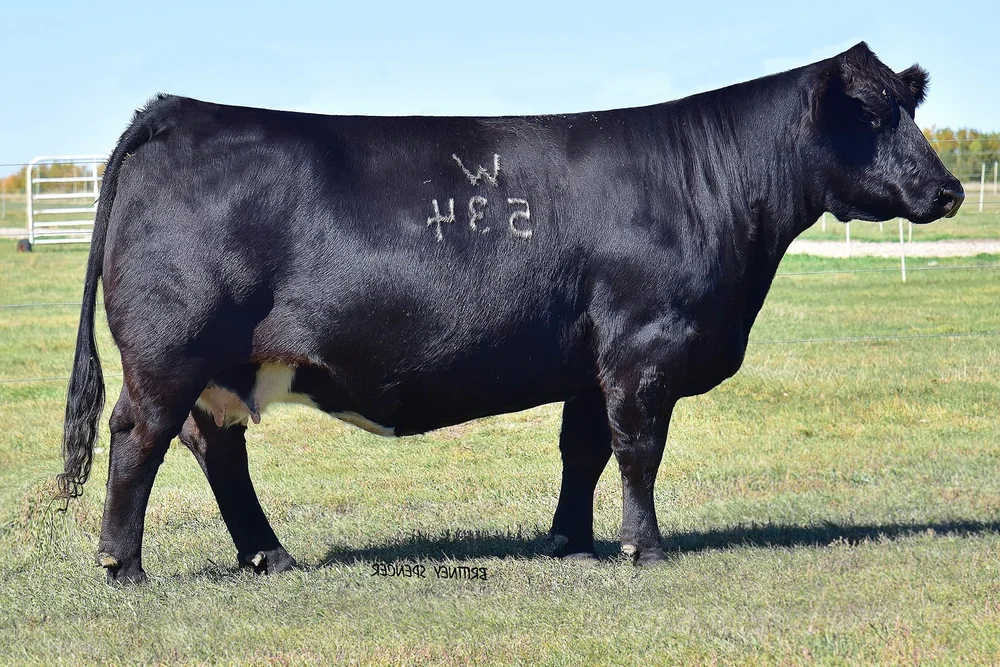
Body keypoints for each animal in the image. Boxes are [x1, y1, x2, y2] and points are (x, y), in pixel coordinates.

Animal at [58, 42, 963, 583]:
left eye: (909, 110)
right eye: (870, 115)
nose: (950, 190)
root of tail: (178, 109)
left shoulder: (590, 363)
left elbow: (584, 451)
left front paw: (571, 539)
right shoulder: (642, 348)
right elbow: (639, 451)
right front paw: (644, 547)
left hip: (218, 363)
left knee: (215, 449)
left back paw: (268, 554)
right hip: (170, 351)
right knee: (138, 437)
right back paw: (123, 564)